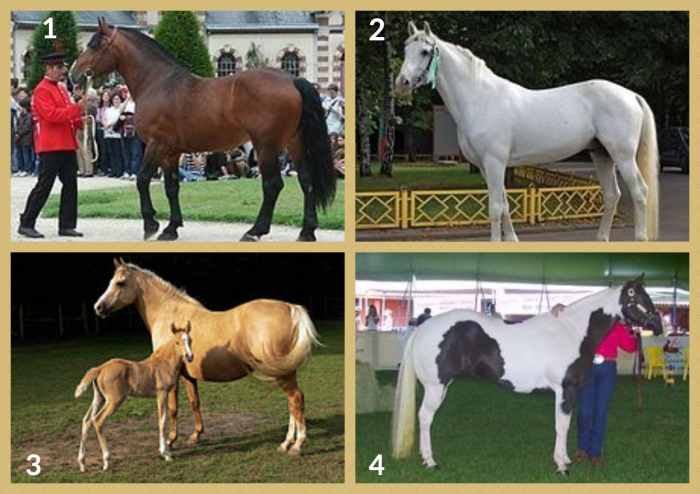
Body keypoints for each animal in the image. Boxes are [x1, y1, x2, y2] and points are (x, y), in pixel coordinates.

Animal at [70, 17, 336, 242]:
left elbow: (143, 179)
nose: (74, 75)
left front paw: (150, 225)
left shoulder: (156, 145)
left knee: (272, 185)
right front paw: (171, 228)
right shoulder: (171, 152)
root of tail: (292, 80)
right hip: (295, 142)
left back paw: (255, 231)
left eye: (95, 45)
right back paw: (307, 231)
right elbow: (171, 187)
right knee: (306, 181)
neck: (157, 83)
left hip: (266, 146)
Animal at [75, 322, 193, 471]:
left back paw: (82, 463)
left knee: (86, 421)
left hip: (99, 398)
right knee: (98, 420)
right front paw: (165, 454)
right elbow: (162, 420)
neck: (164, 363)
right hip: (114, 400)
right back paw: (106, 461)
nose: (189, 356)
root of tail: (100, 368)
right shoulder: (162, 393)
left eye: (190, 340)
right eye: (177, 342)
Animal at [94, 258, 319, 456]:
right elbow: (195, 403)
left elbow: (173, 409)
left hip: (283, 374)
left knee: (296, 399)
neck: (171, 314)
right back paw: (286, 443)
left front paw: (171, 441)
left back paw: (296, 446)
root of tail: (290, 308)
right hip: (286, 372)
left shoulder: (172, 378)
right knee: (292, 403)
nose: (98, 307)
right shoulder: (188, 376)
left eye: (120, 282)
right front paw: (195, 436)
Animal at [392, 275, 662, 474]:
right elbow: (562, 426)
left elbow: (565, 425)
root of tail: (424, 326)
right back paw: (430, 462)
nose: (658, 326)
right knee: (425, 418)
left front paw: (565, 459)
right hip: (435, 386)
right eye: (639, 297)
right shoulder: (565, 390)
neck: (574, 331)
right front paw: (561, 465)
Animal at [395, 21, 659, 242]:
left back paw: (640, 238)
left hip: (623, 156)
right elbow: (504, 205)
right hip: (601, 154)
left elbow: (495, 208)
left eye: (425, 52)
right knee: (612, 195)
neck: (480, 98)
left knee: (639, 191)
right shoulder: (486, 166)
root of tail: (631, 95)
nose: (402, 83)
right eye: (406, 49)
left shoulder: (494, 163)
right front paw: (512, 240)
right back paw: (602, 239)